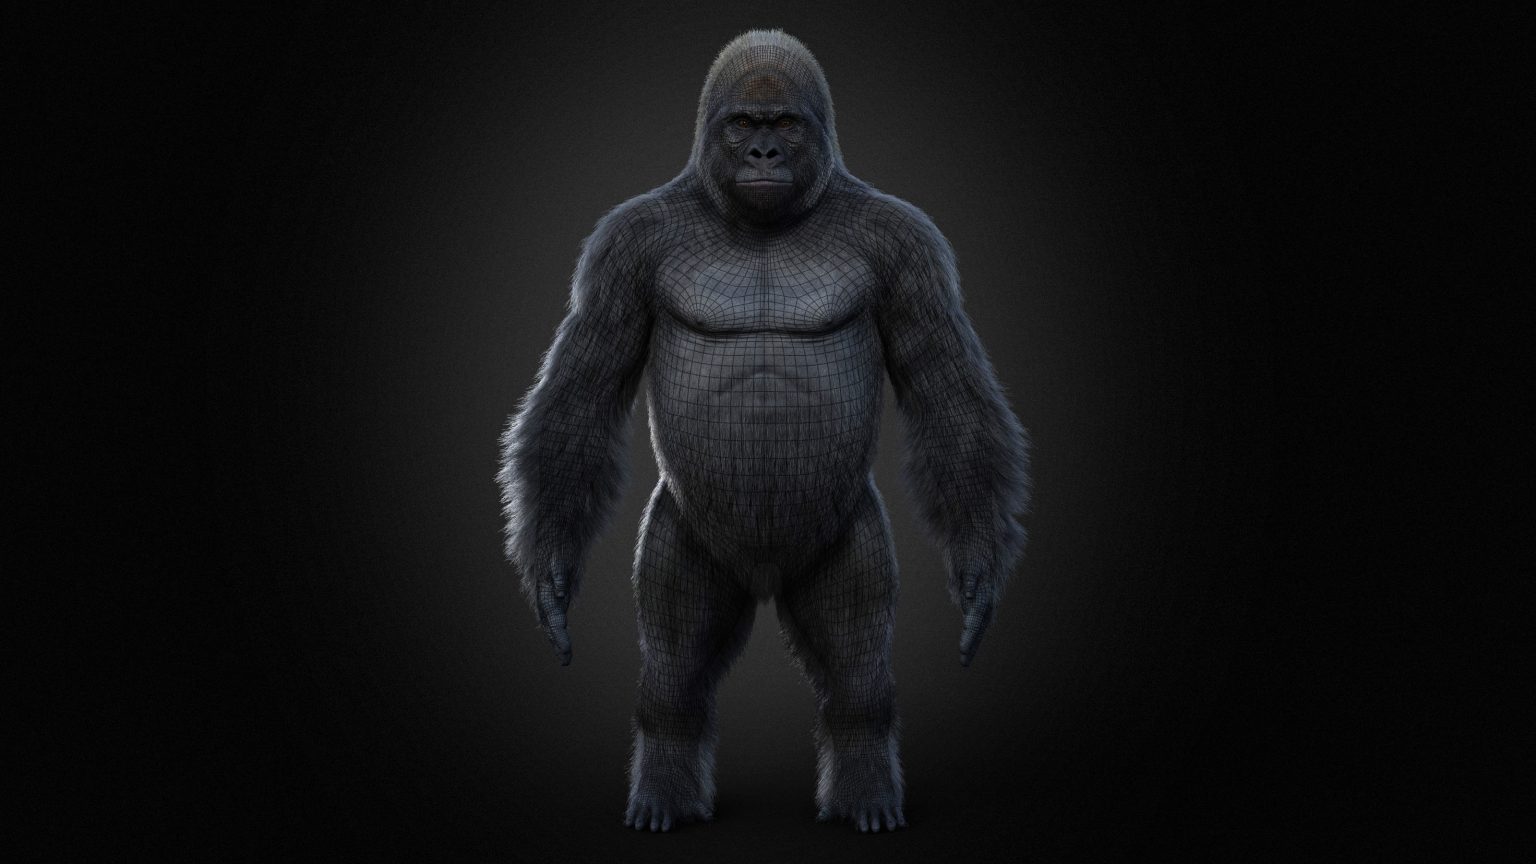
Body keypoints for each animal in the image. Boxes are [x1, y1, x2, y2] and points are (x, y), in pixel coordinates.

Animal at [497, 29, 1030, 833]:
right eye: (744, 125)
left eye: (785, 126)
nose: (764, 155)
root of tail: (765, 578)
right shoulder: (623, 246)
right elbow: (582, 395)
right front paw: (552, 573)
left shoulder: (909, 245)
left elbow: (947, 396)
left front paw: (978, 572)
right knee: (676, 668)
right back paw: (665, 788)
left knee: (855, 668)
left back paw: (865, 789)